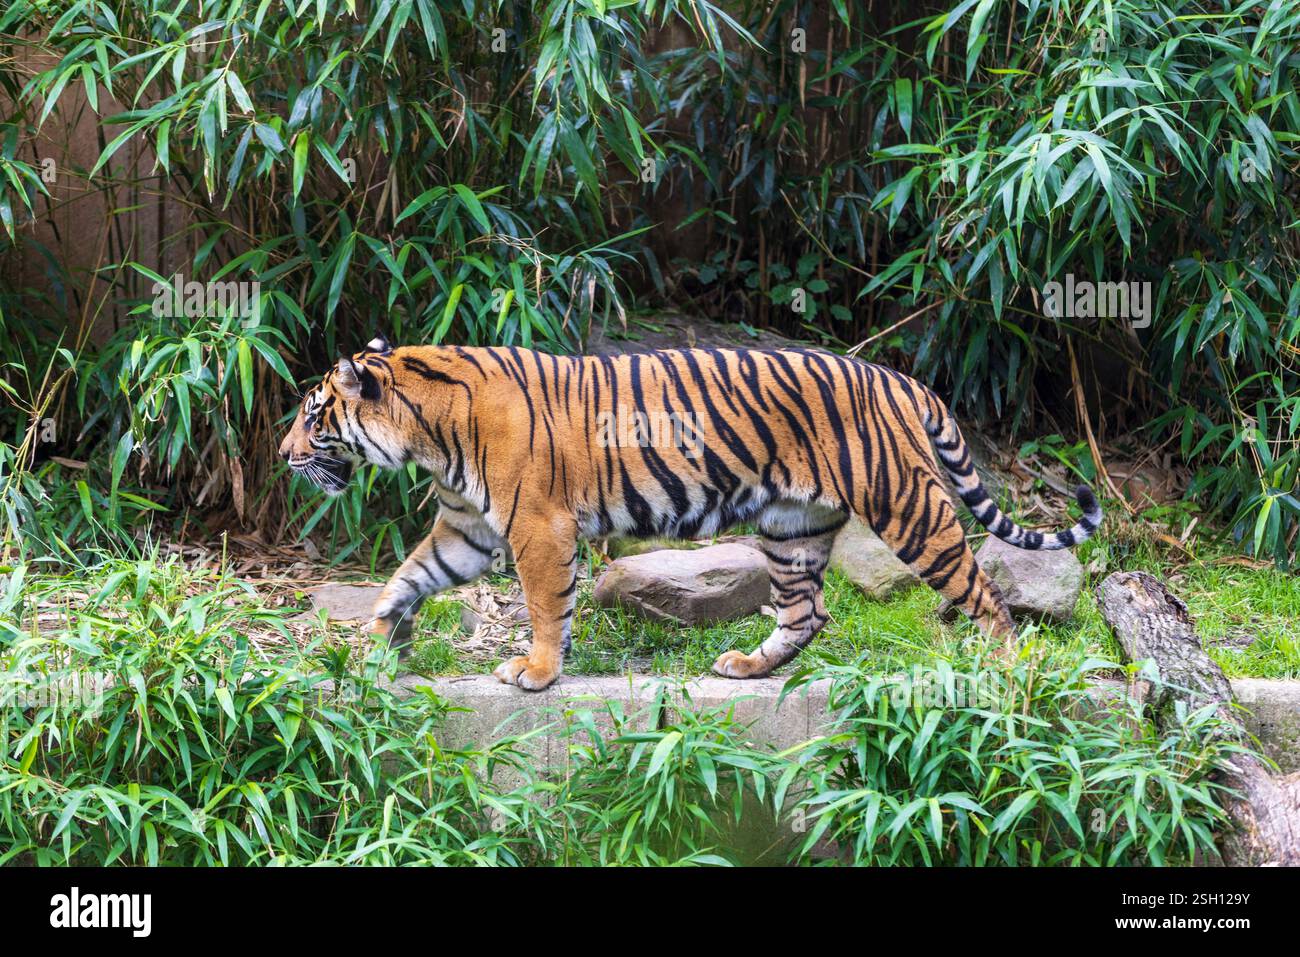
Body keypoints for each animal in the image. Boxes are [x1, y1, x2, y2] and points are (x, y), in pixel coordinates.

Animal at [278, 335, 1102, 691]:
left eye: (314, 416)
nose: (283, 455)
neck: (426, 432)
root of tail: (902, 380)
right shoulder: (468, 528)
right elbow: (409, 574)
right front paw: (376, 640)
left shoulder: (536, 527)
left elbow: (545, 606)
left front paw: (537, 671)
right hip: (792, 526)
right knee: (808, 613)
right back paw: (747, 665)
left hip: (907, 506)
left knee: (983, 592)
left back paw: (1007, 669)